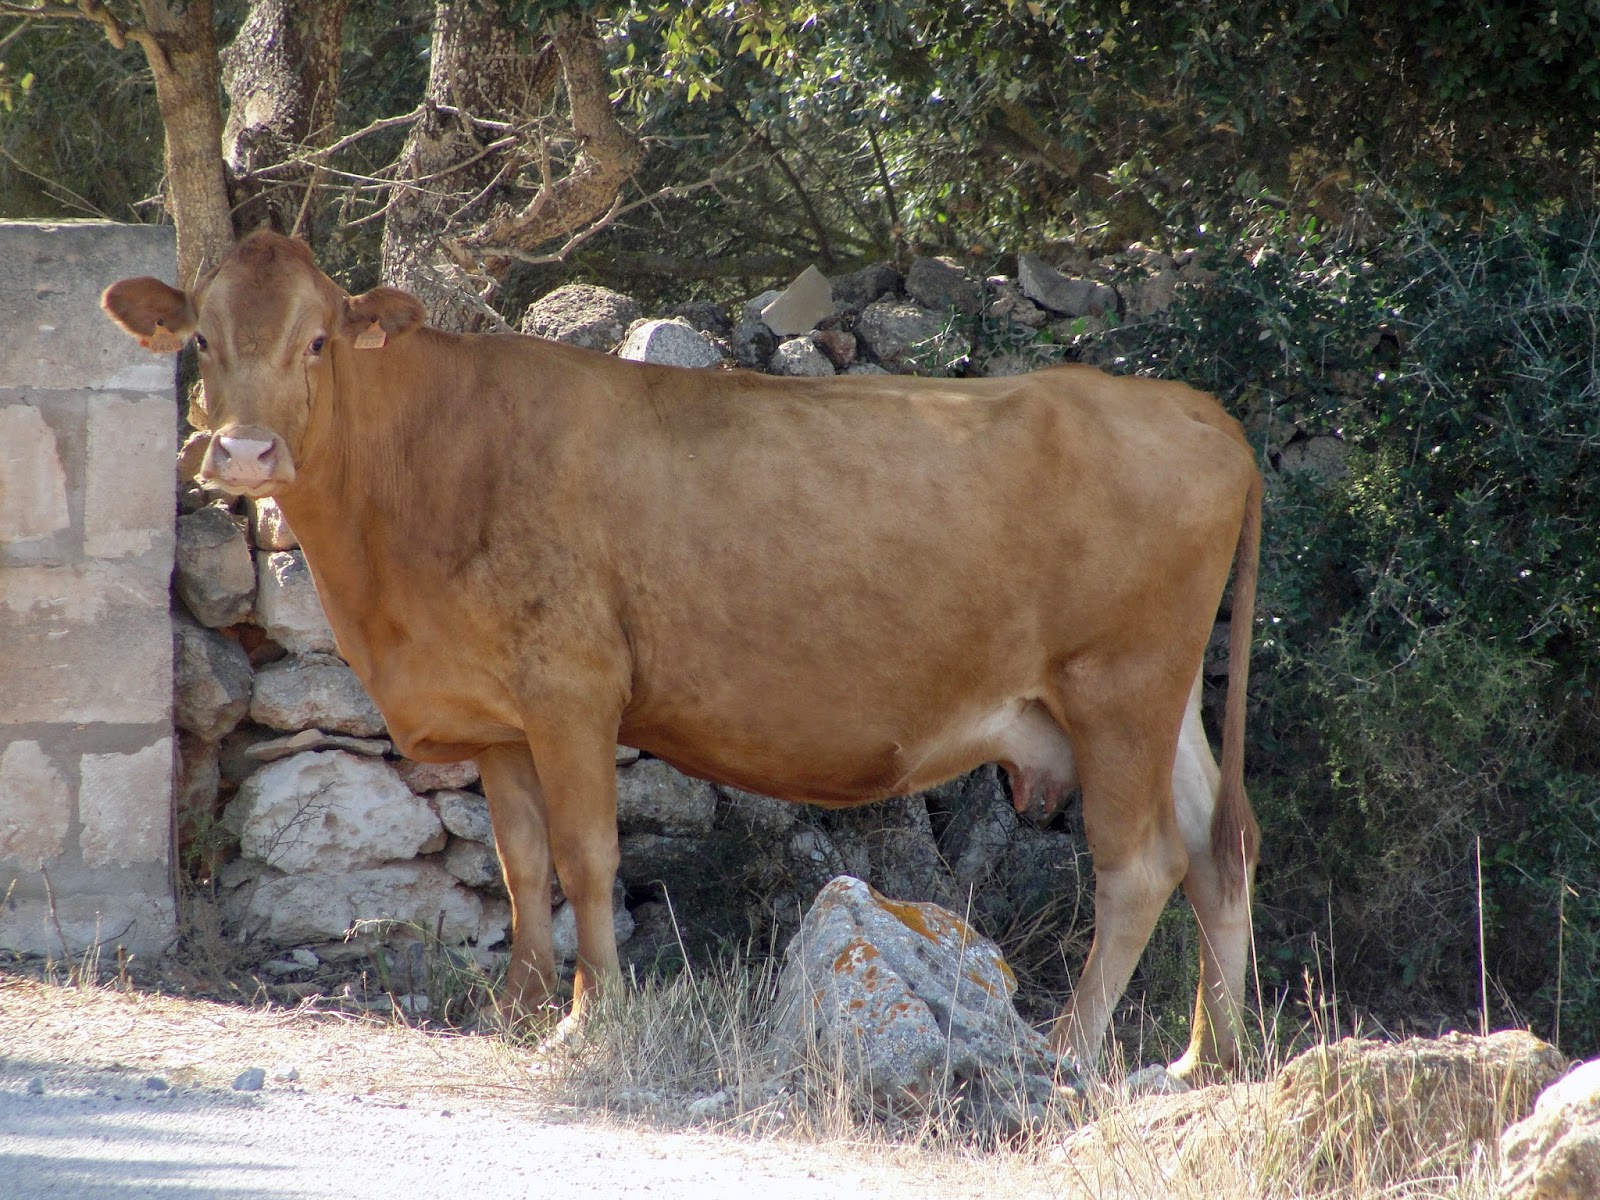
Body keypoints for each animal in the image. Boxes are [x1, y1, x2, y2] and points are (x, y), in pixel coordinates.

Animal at [103, 231, 1261, 1082]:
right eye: (203, 338)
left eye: (317, 343)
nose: (244, 452)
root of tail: (1196, 407)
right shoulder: (499, 718)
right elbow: (522, 865)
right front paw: (521, 1009)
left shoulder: (573, 690)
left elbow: (587, 857)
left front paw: (589, 1020)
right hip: (1161, 707)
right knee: (1221, 848)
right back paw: (1206, 1058)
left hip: (1118, 687)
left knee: (1140, 863)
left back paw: (1068, 1049)